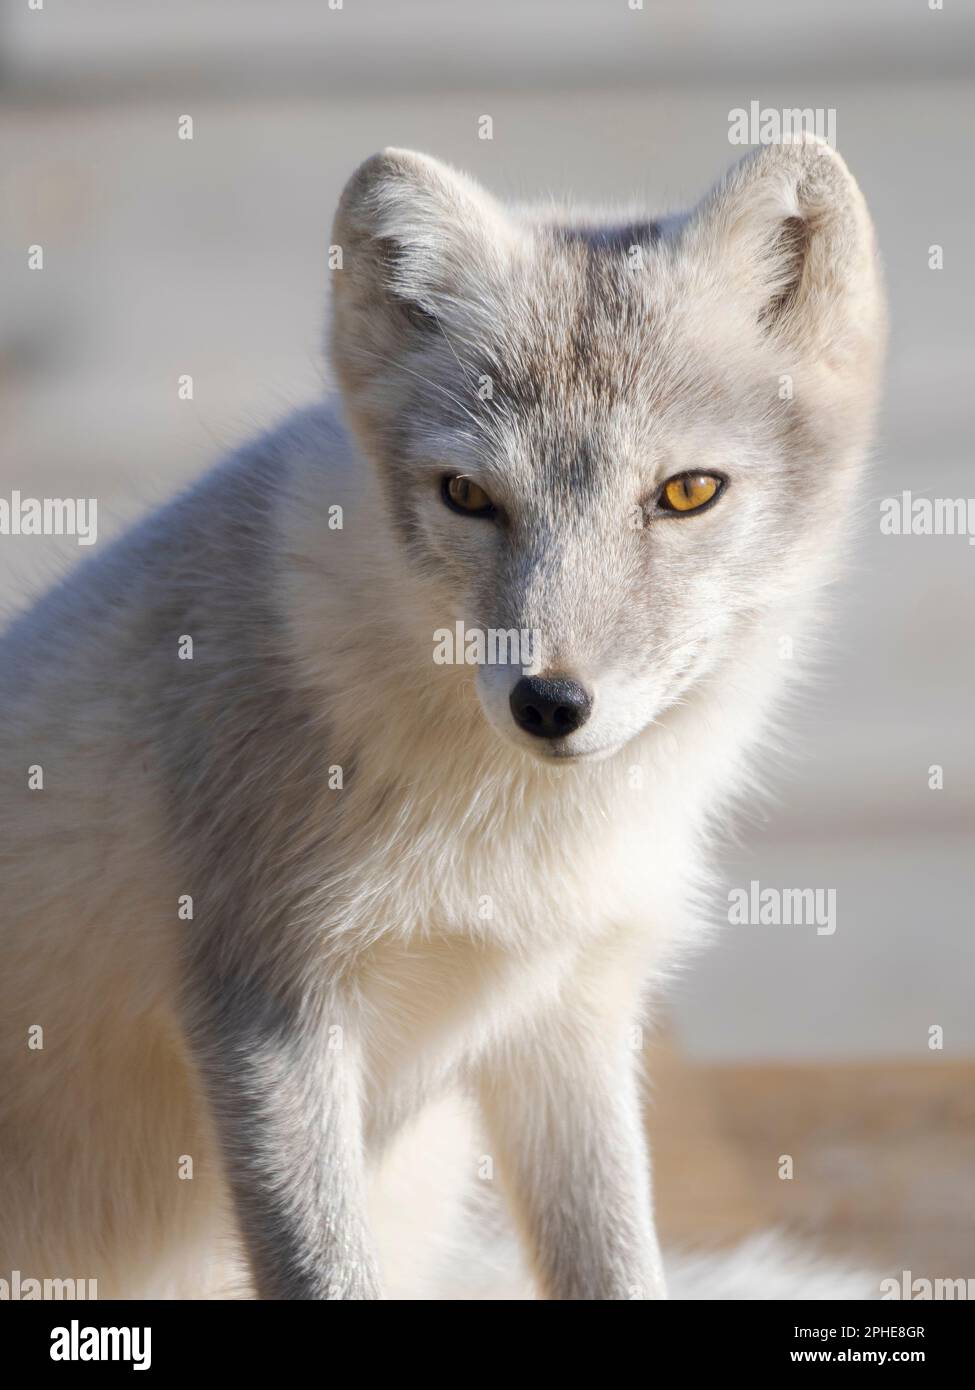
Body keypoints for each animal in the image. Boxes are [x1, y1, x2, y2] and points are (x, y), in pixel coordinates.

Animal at [0, 136, 884, 1300]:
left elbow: (613, 1261)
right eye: (468, 495)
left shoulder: (569, 1014)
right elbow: (324, 1271)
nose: (549, 702)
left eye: (688, 492)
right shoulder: (264, 1007)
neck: (512, 834)